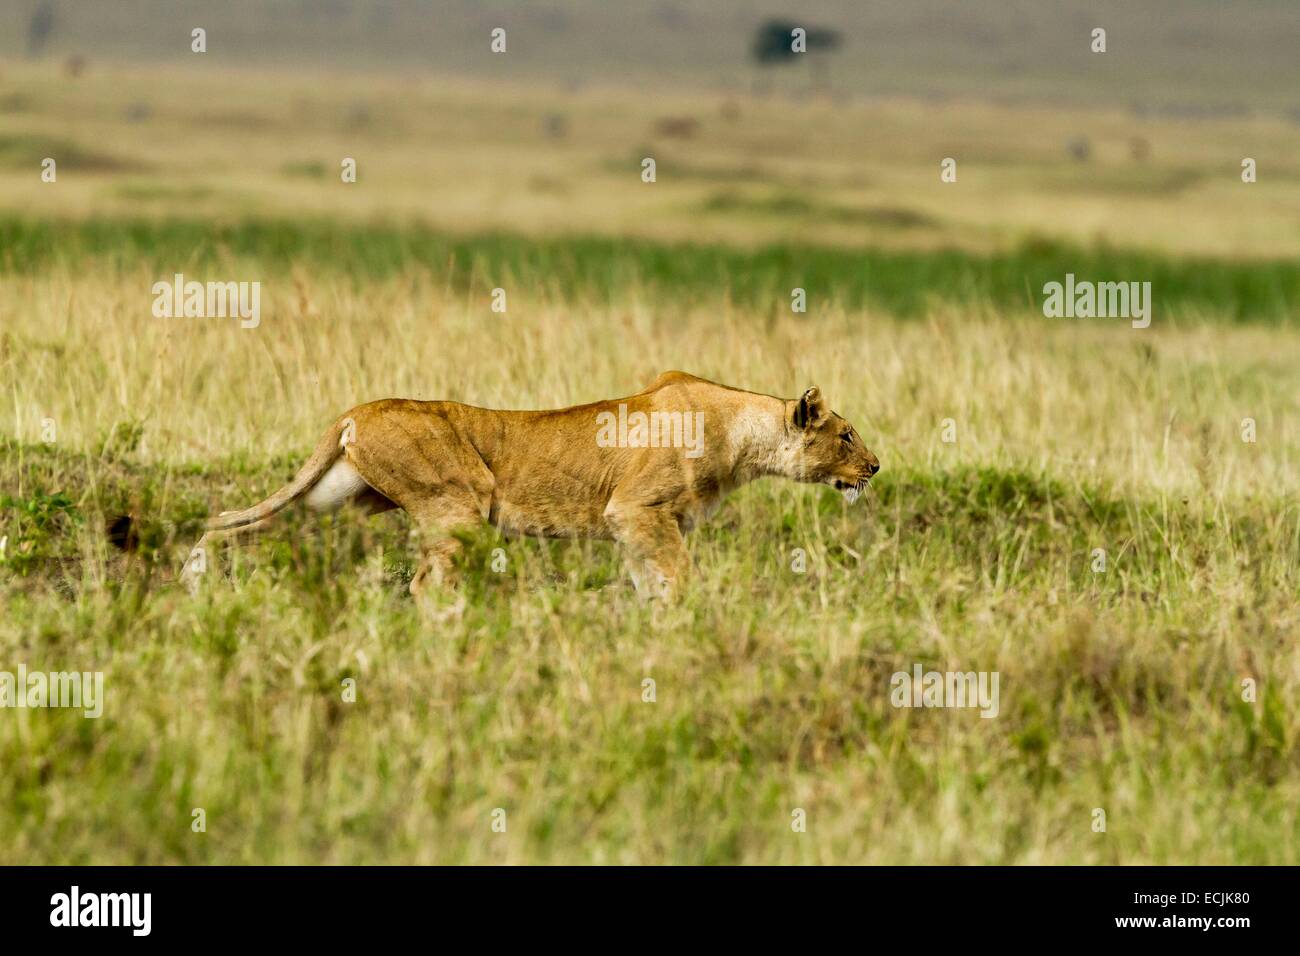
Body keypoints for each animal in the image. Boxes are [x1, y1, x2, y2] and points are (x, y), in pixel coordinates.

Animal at [177, 371, 879, 599]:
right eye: (847, 435)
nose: (875, 467)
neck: (743, 433)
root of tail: (356, 411)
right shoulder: (635, 509)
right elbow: (679, 577)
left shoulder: (645, 526)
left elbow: (652, 582)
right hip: (458, 503)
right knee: (427, 582)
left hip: (338, 499)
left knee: (242, 522)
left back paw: (195, 576)